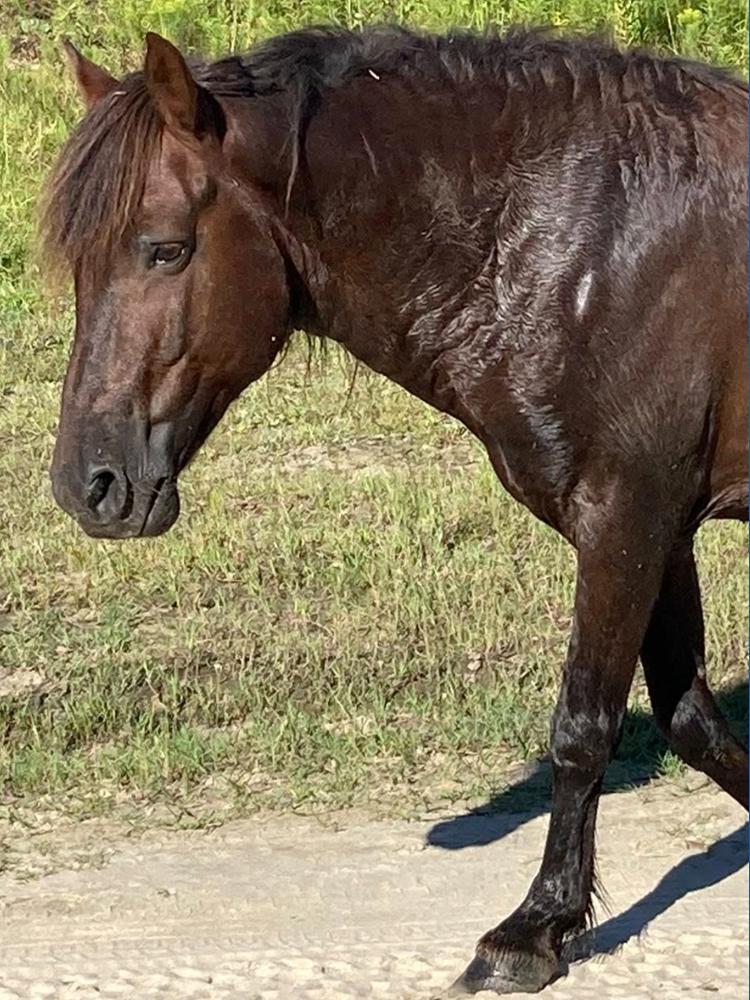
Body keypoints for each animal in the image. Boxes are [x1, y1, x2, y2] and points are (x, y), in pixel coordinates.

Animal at [42, 25, 748, 995]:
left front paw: (532, 932)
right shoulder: (662, 533)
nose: (90, 486)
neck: (596, 238)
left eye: (165, 249)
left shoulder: (626, 520)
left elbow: (583, 728)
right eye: (79, 262)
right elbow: (691, 718)